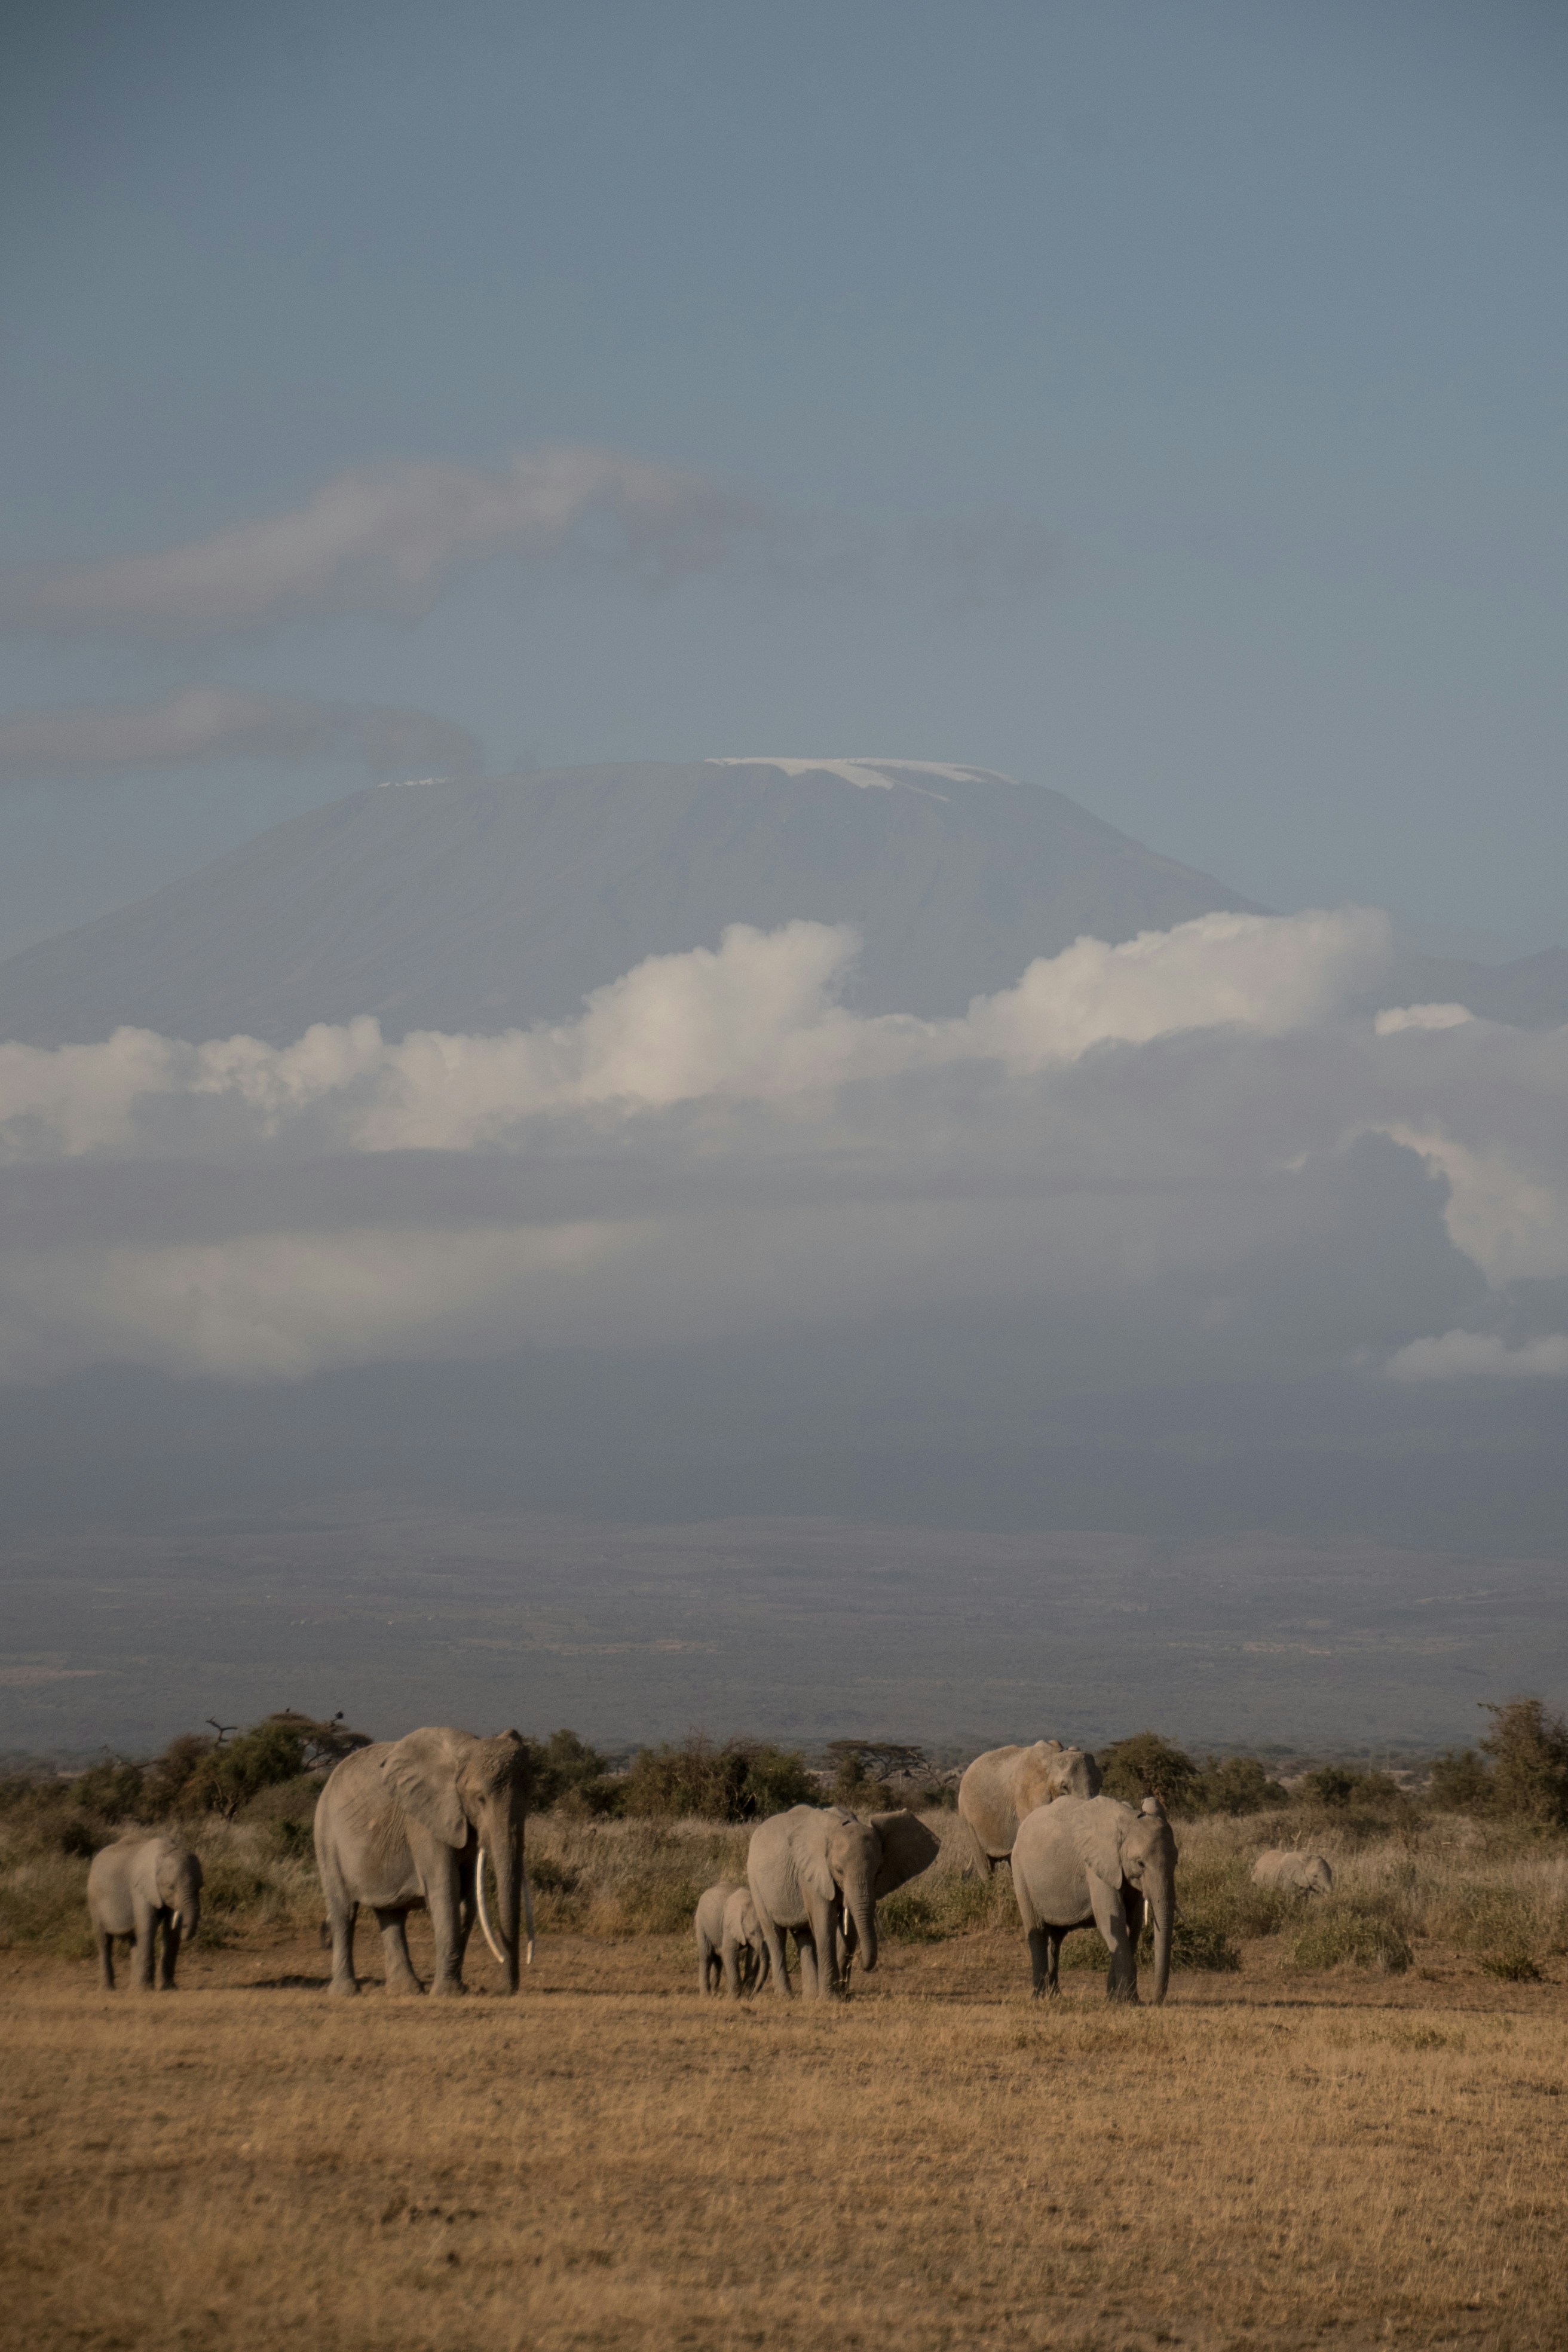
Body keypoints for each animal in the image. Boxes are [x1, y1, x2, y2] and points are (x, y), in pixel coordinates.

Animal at [87, 1836, 203, 1991]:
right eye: (171, 1887)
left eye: (200, 1887)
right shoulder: (140, 1889)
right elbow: (148, 1927)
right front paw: (148, 1990)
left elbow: (171, 1933)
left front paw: (170, 1988)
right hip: (94, 1901)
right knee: (104, 1940)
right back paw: (109, 1990)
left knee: (134, 1940)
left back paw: (134, 1989)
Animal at [313, 1725, 534, 1998]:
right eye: (480, 1799)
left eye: (530, 1796)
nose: (508, 1989)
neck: (465, 1751)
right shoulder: (425, 1820)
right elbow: (446, 1890)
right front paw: (448, 1994)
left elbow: (468, 1898)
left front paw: (456, 1989)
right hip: (326, 1838)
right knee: (344, 1911)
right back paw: (346, 1993)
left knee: (391, 1914)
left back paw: (406, 1991)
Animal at [694, 1880, 771, 1997]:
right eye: (751, 1932)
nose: (752, 1995)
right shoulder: (728, 1924)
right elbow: (729, 1952)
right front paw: (733, 1998)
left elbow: (752, 1956)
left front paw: (744, 1995)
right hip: (701, 1922)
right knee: (706, 1955)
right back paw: (706, 1996)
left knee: (717, 1958)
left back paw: (716, 1993)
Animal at [747, 1804, 940, 1999]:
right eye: (839, 1871)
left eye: (878, 1871)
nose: (864, 1966)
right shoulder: (813, 1875)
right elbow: (825, 1922)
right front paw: (829, 1999)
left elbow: (850, 1929)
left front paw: (840, 1996)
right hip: (756, 1883)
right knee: (775, 1935)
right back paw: (786, 1996)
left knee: (803, 1935)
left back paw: (810, 1997)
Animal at [1011, 1793, 1176, 2004]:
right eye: (1140, 1863)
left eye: (1176, 1861)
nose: (1153, 2001)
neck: (1127, 1820)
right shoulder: (1098, 1867)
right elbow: (1111, 1919)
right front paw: (1129, 2002)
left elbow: (1134, 1923)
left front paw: (1116, 1999)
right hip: (1021, 1874)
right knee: (1037, 1930)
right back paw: (1040, 1997)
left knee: (1056, 1938)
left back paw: (1055, 1995)